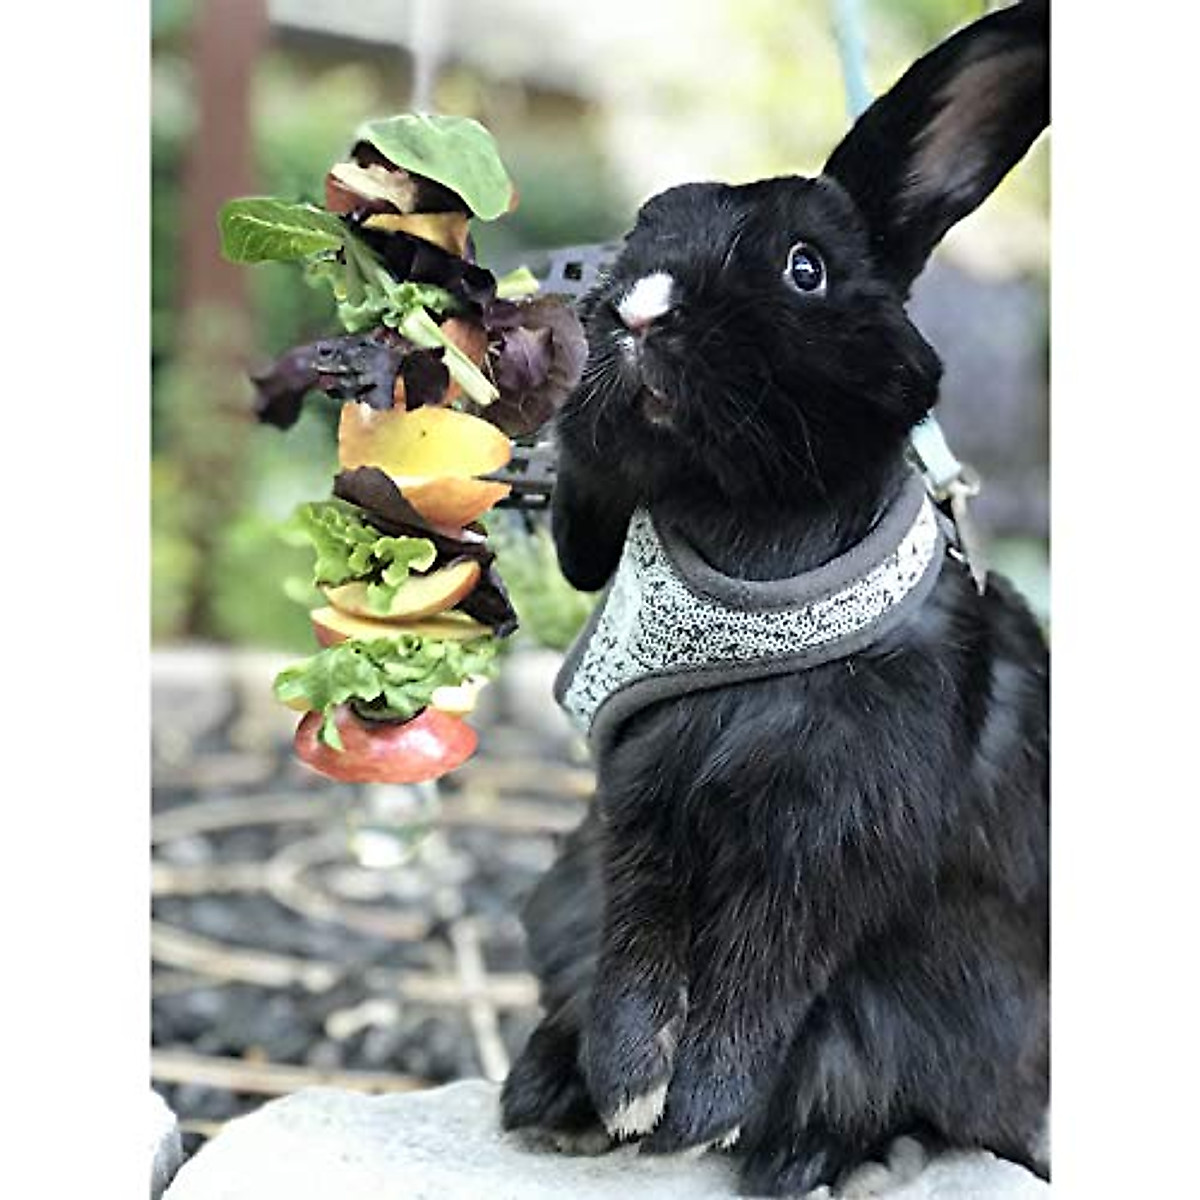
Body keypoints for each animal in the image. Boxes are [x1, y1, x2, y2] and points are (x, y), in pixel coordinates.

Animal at [500, 2, 1050, 1195]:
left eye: (804, 268)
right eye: (636, 240)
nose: (638, 312)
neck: (752, 566)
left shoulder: (832, 834)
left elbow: (765, 971)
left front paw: (702, 1112)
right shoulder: (642, 809)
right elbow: (639, 954)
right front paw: (627, 1092)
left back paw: (827, 1151)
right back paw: (554, 1094)